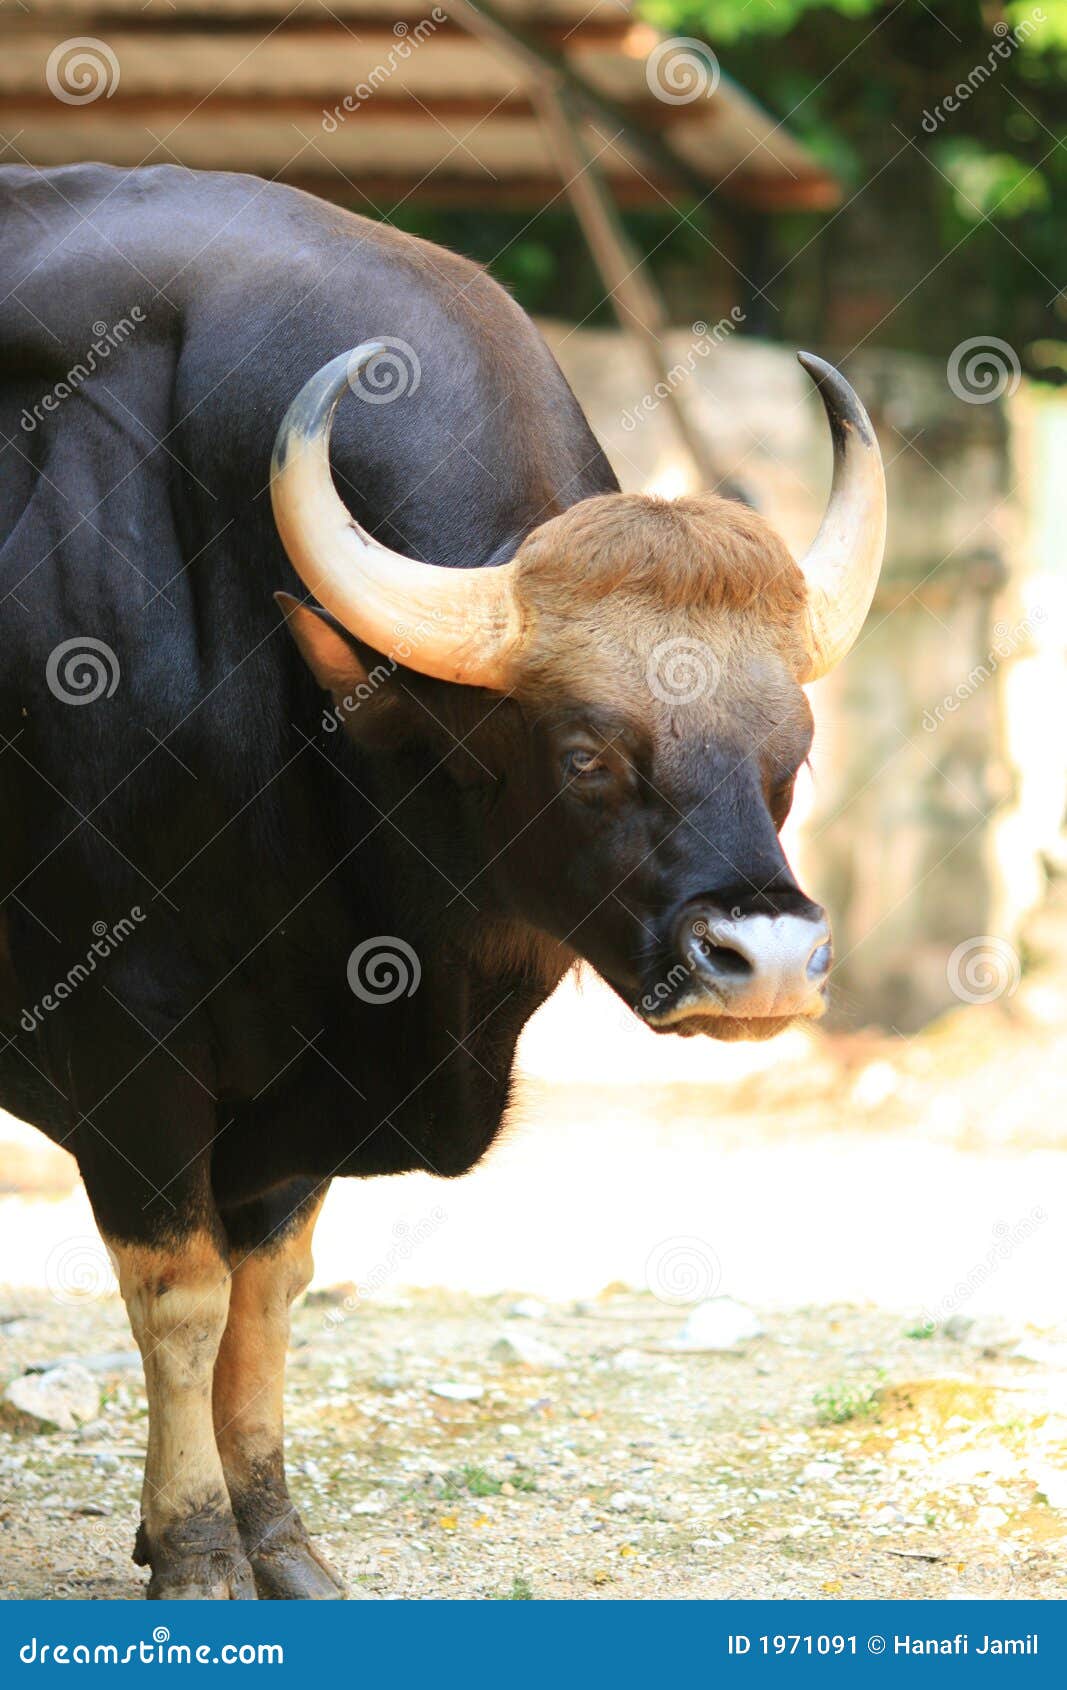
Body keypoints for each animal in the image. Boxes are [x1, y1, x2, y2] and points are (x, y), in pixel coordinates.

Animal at [0, 163, 885, 1599]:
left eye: (789, 753)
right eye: (585, 752)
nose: (760, 964)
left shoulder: (301, 1063)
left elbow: (270, 1293)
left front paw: (279, 1538)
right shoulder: (124, 1026)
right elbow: (183, 1296)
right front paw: (192, 1546)